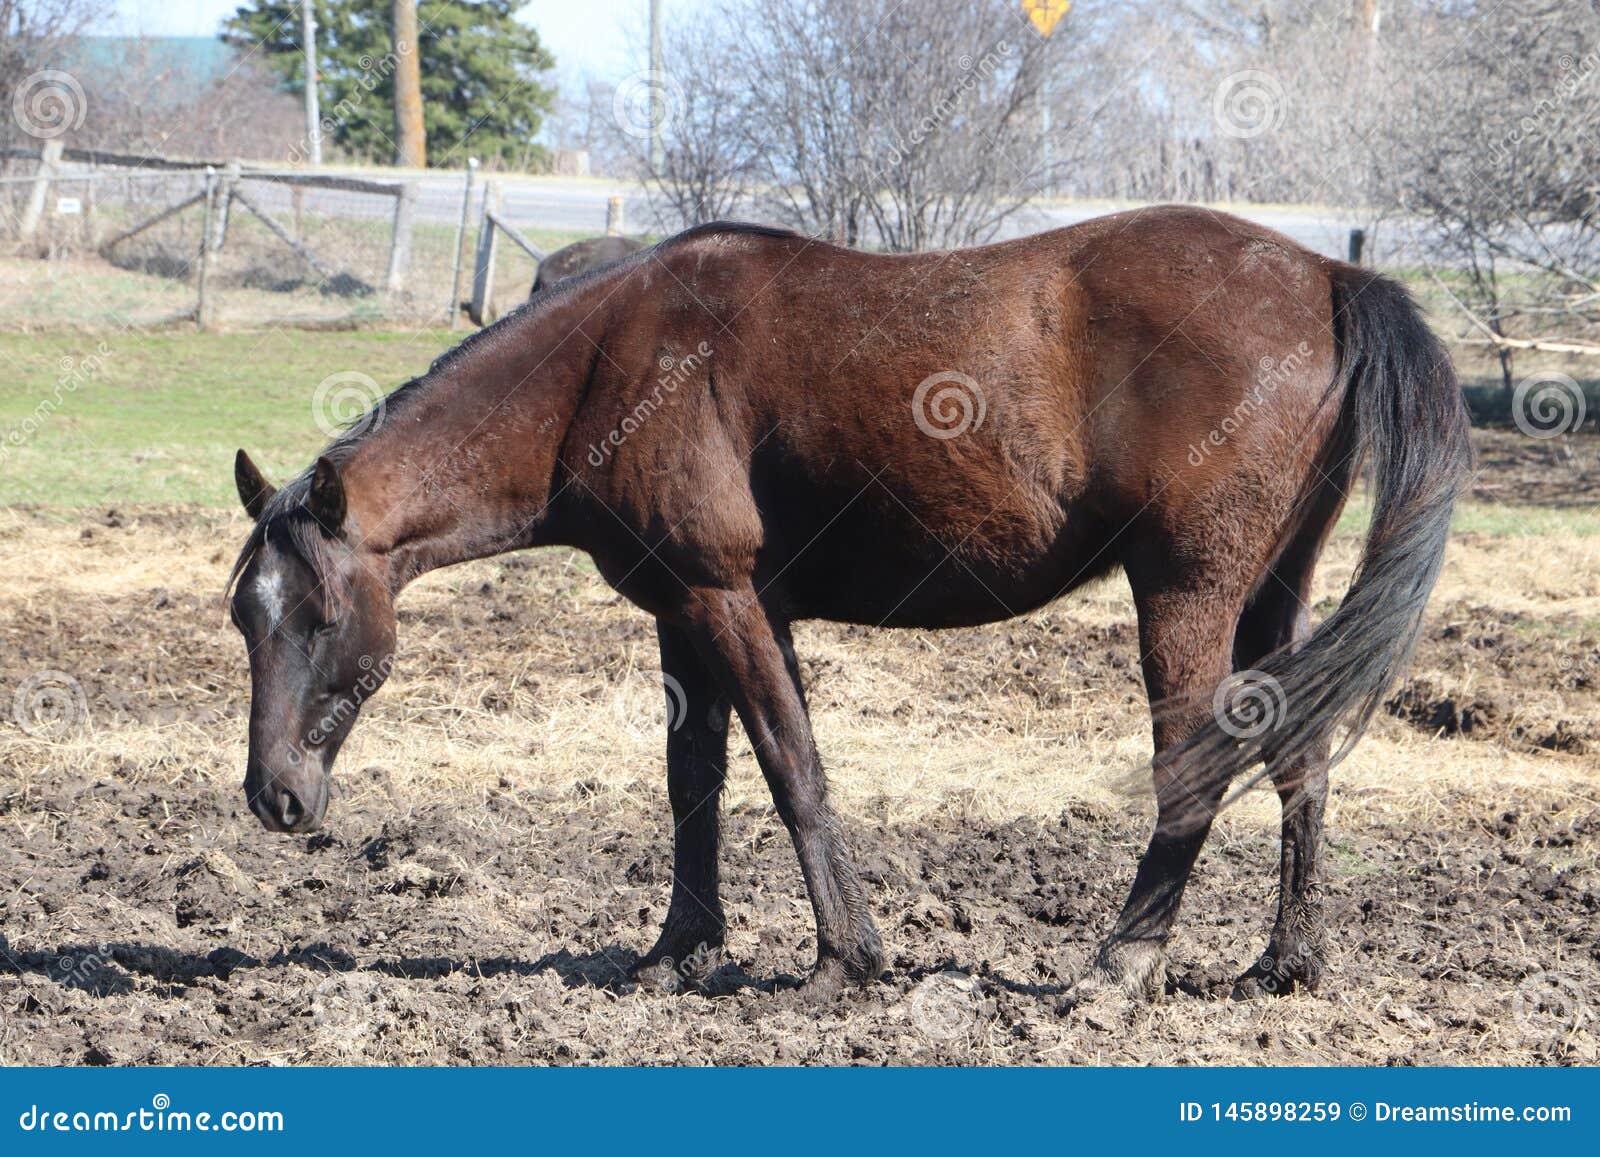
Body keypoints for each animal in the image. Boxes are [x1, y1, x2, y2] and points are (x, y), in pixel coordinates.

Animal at [227, 206, 1471, 1001]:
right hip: (1272, 591)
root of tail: (1325, 275)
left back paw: (1121, 967)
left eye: (320, 616)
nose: (275, 795)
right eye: (247, 614)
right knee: (1298, 759)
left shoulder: (724, 598)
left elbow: (792, 769)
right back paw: (1284, 963)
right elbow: (696, 782)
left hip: (1185, 593)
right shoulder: (692, 613)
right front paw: (679, 950)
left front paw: (842, 961)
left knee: (1194, 765)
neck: (610, 367)